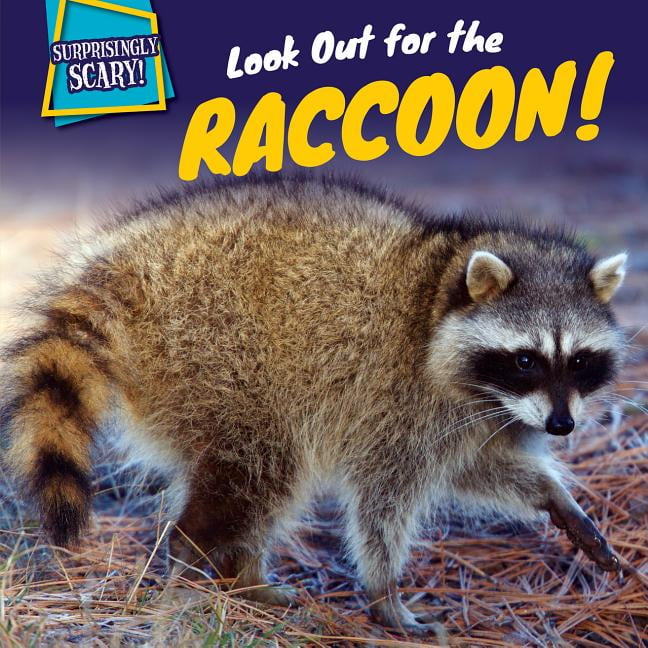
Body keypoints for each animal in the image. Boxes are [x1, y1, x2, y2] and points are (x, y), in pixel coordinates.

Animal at [0, 176, 626, 634]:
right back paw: (199, 561)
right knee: (263, 466)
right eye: (525, 359)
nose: (563, 425)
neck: (440, 285)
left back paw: (242, 573)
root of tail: (119, 265)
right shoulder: (402, 400)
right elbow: (382, 497)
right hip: (210, 349)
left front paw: (556, 498)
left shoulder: (473, 418)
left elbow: (478, 467)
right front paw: (383, 590)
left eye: (579, 361)